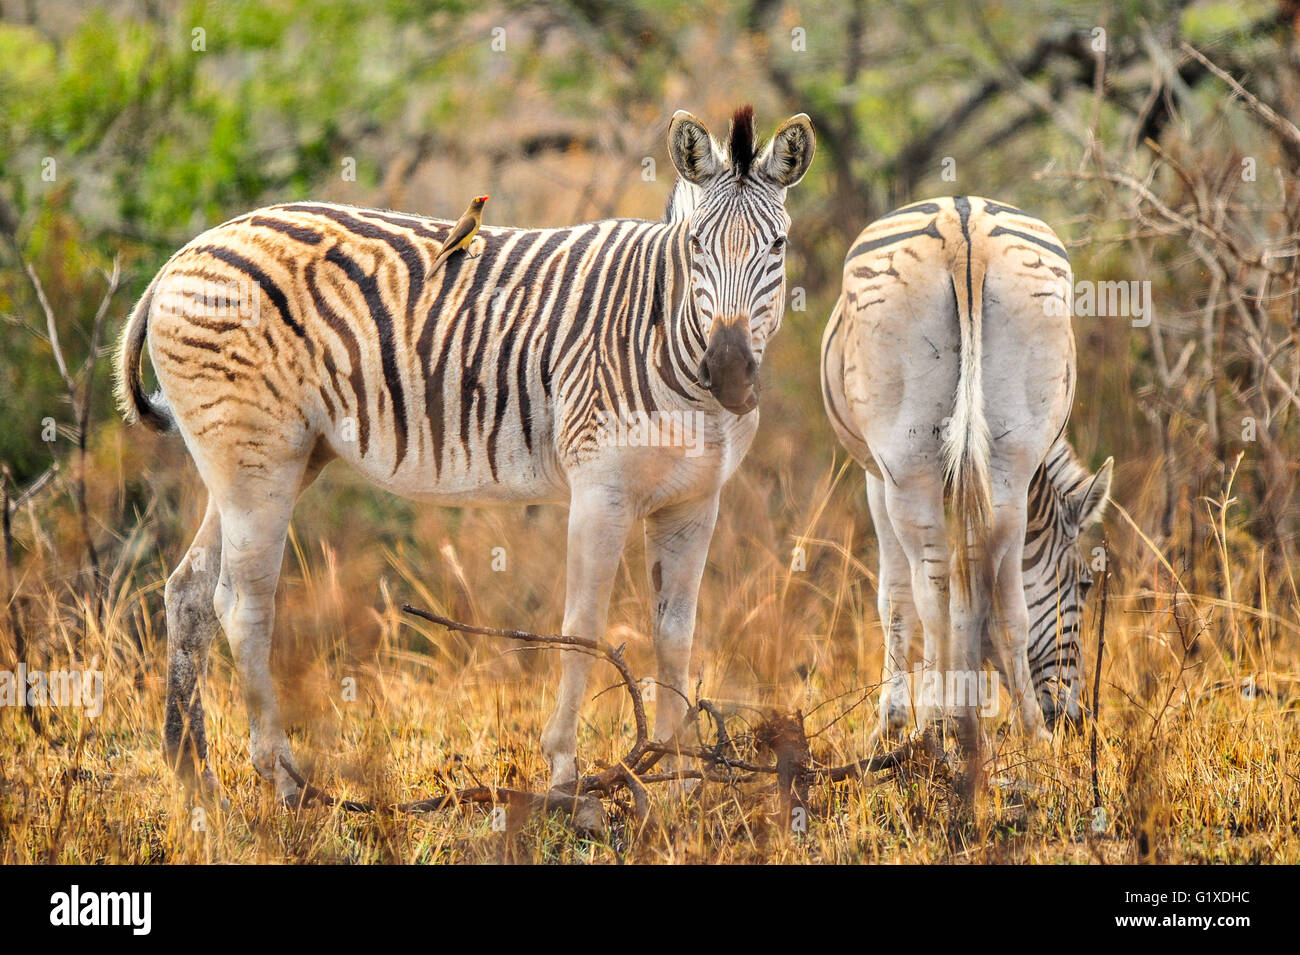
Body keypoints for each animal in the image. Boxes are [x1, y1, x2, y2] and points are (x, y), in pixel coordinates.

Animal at [115, 106, 815, 802]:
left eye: (778, 246)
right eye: (696, 246)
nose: (730, 373)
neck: (665, 336)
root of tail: (184, 253)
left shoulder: (695, 500)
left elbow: (675, 635)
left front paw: (676, 782)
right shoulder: (600, 489)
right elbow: (583, 628)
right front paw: (567, 777)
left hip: (262, 461)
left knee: (190, 591)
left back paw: (193, 775)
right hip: (256, 456)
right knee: (242, 605)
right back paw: (285, 779)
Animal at [820, 196, 1112, 741]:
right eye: (1085, 584)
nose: (1072, 720)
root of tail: (963, 223)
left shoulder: (878, 477)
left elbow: (896, 598)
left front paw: (893, 722)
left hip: (907, 463)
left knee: (932, 586)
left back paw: (937, 723)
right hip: (1011, 454)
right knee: (1001, 597)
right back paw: (1023, 733)